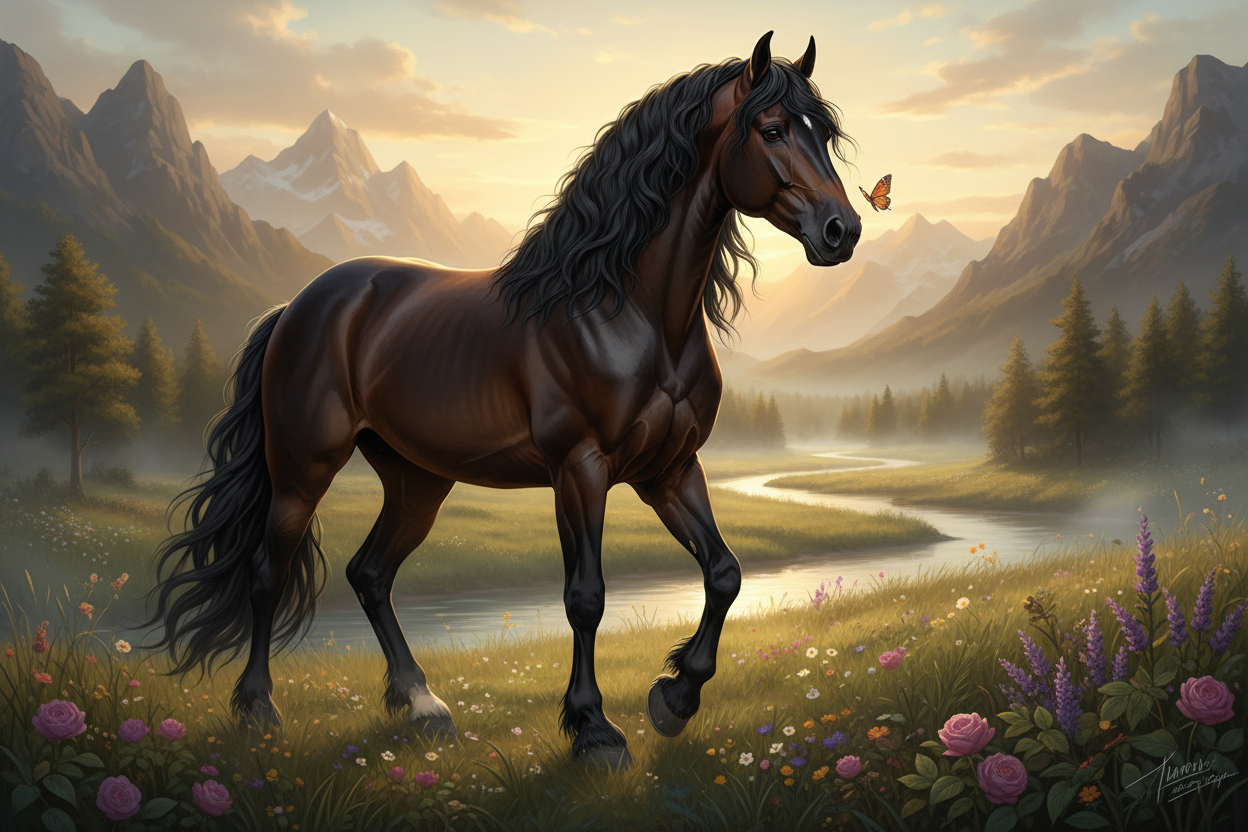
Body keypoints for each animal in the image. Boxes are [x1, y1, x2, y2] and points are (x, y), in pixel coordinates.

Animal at [144, 31, 861, 770]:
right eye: (772, 129)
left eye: (826, 134)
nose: (842, 231)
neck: (627, 310)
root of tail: (297, 306)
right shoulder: (579, 469)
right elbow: (586, 597)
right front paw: (594, 729)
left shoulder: (669, 470)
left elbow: (724, 573)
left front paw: (675, 697)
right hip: (302, 468)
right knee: (268, 571)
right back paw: (259, 708)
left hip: (416, 479)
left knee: (369, 572)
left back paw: (421, 703)